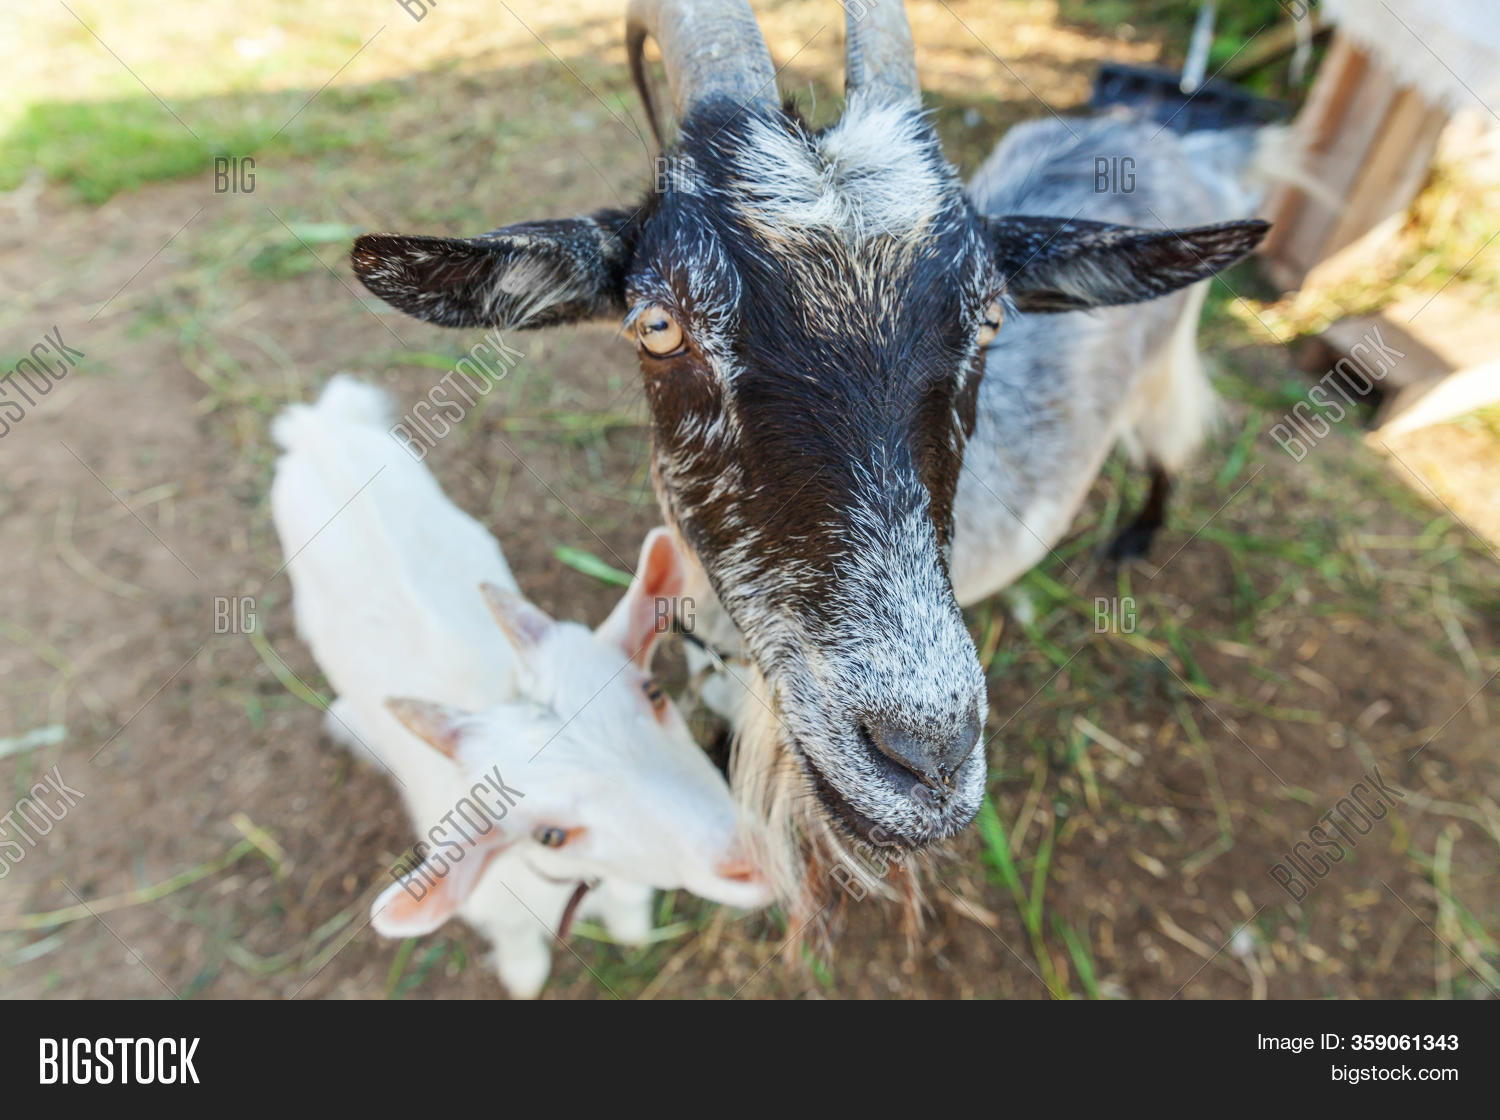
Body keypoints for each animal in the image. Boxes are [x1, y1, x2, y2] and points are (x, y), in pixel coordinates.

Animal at [270, 375, 769, 997]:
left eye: (653, 694)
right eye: (550, 835)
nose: (750, 858)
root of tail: (318, 430)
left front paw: (631, 931)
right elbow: (518, 944)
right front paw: (524, 975)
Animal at [348, 1, 1266, 879]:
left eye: (992, 319)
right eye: (657, 326)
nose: (927, 759)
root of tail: (1167, 136)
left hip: (1162, 374)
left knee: (1170, 447)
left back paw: (1137, 535)